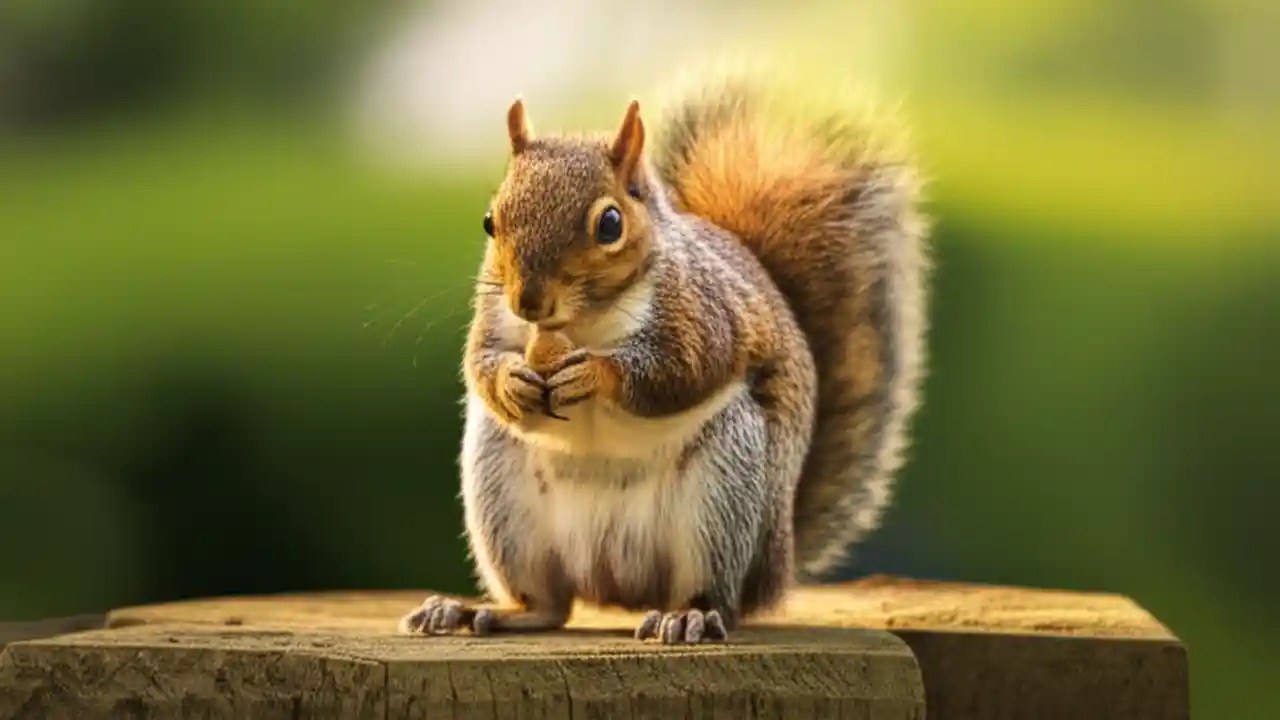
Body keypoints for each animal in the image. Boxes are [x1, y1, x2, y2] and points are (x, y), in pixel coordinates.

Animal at [399, 65, 929, 644]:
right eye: (490, 221)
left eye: (610, 224)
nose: (529, 301)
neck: (584, 322)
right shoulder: (495, 316)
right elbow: (480, 360)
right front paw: (511, 381)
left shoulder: (701, 311)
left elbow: (683, 368)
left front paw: (594, 374)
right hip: (504, 495)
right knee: (548, 604)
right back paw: (483, 611)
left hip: (723, 489)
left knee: (713, 592)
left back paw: (689, 615)